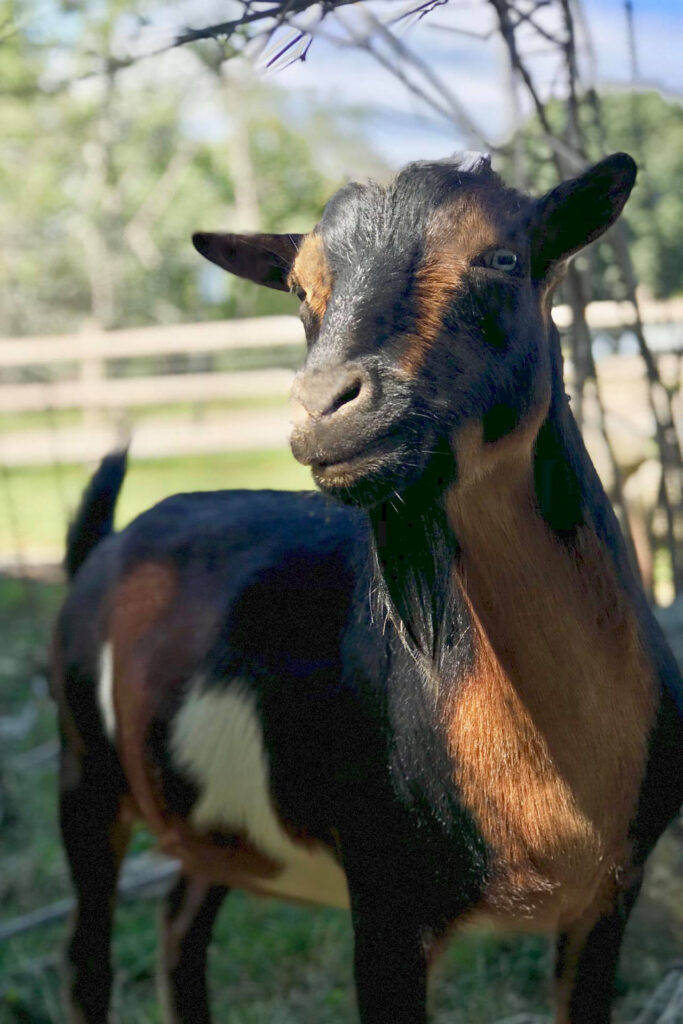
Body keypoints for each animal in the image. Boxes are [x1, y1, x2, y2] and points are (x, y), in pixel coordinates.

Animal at [52, 152, 683, 1024]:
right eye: (299, 289)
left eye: (502, 257)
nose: (324, 409)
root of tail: (102, 551)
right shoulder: (385, 904)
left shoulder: (607, 897)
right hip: (83, 764)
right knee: (90, 957)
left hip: (210, 824)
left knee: (182, 920)